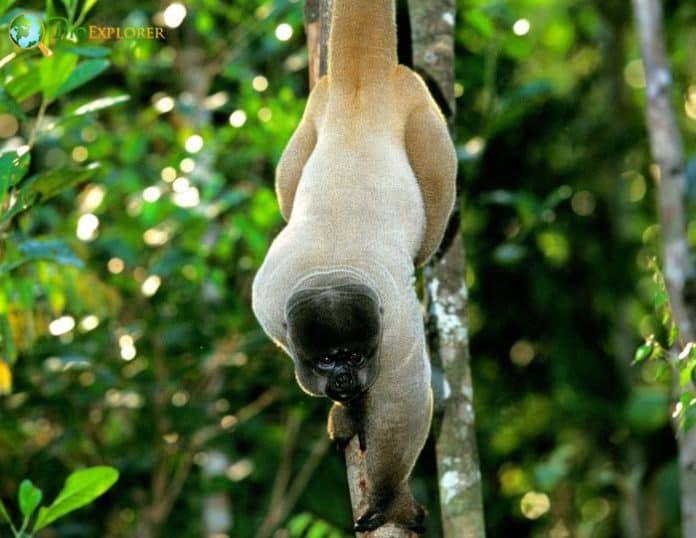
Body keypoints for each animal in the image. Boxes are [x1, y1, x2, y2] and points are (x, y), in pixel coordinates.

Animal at [251, 0, 456, 533]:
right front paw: (347, 410)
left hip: (421, 112)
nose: (343, 379)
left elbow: (403, 401)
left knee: (435, 216)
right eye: (328, 360)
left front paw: (388, 501)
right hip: (313, 116)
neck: (331, 272)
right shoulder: (269, 310)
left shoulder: (396, 329)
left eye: (355, 355)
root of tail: (362, 82)